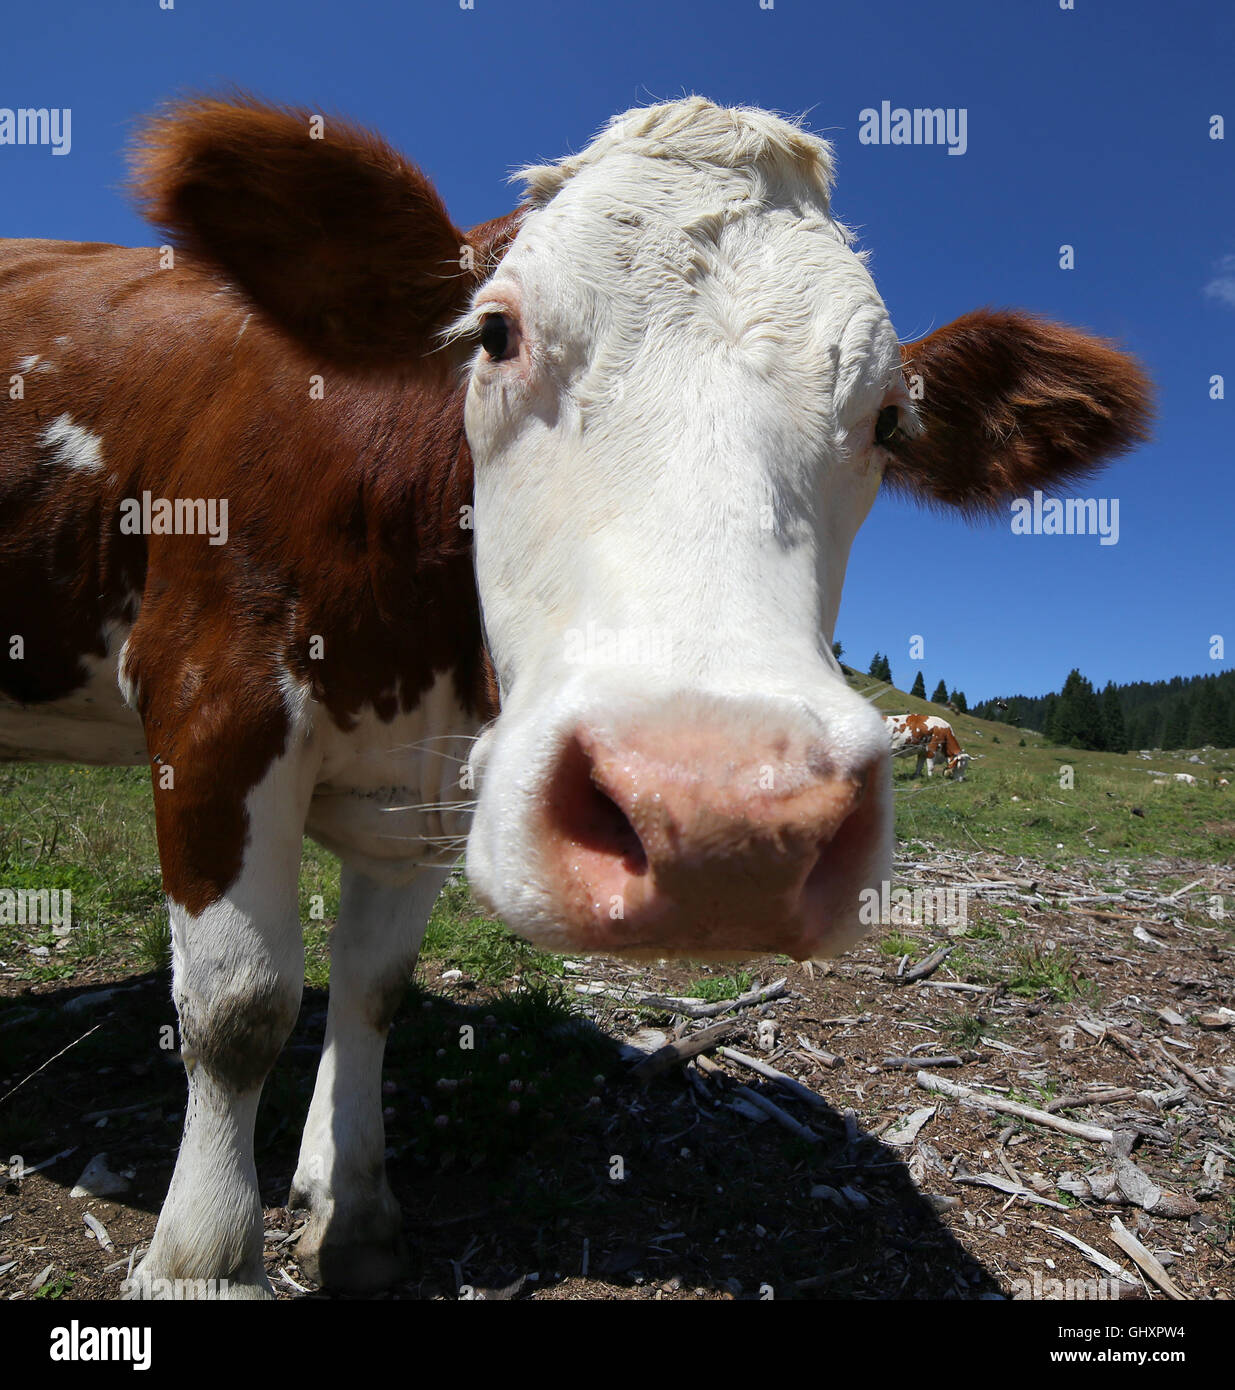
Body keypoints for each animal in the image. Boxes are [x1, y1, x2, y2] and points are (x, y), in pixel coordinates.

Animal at [0, 95, 1151, 1297]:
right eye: (493, 333)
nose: (723, 827)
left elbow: (370, 989)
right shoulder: (210, 695)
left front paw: (351, 1208)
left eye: (889, 420)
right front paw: (207, 1259)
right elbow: (239, 1006)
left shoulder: (436, 789)